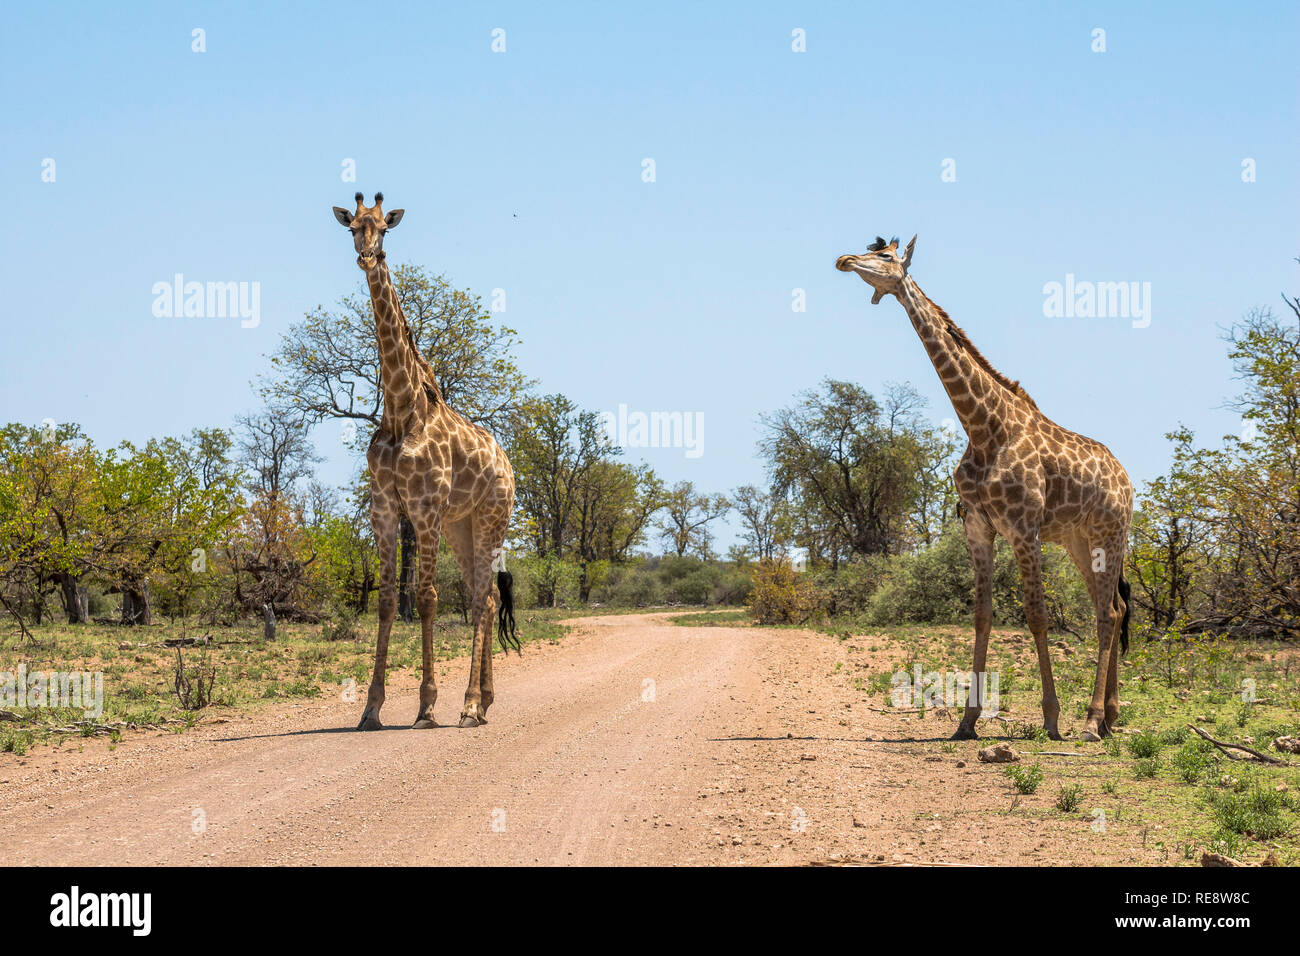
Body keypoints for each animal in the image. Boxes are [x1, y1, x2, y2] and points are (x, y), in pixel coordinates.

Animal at [332, 192, 519, 731]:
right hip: (463, 526)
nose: (367, 256)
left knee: (480, 598)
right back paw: (485, 700)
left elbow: (429, 598)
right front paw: (371, 708)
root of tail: (508, 463)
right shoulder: (384, 508)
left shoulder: (426, 509)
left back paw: (469, 705)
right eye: (352, 227)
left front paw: (427, 704)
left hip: (491, 517)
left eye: (384, 229)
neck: (401, 409)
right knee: (486, 595)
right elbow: (387, 600)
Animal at [836, 236, 1133, 742]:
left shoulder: (1023, 529)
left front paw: (1051, 718)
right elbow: (982, 616)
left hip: (1109, 534)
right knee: (1110, 605)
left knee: (1108, 612)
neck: (983, 428)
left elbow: (1036, 615)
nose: (843, 260)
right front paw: (967, 720)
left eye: (885, 256)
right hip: (1077, 541)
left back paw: (1093, 721)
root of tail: (1128, 479)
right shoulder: (977, 526)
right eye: (869, 249)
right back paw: (1109, 715)